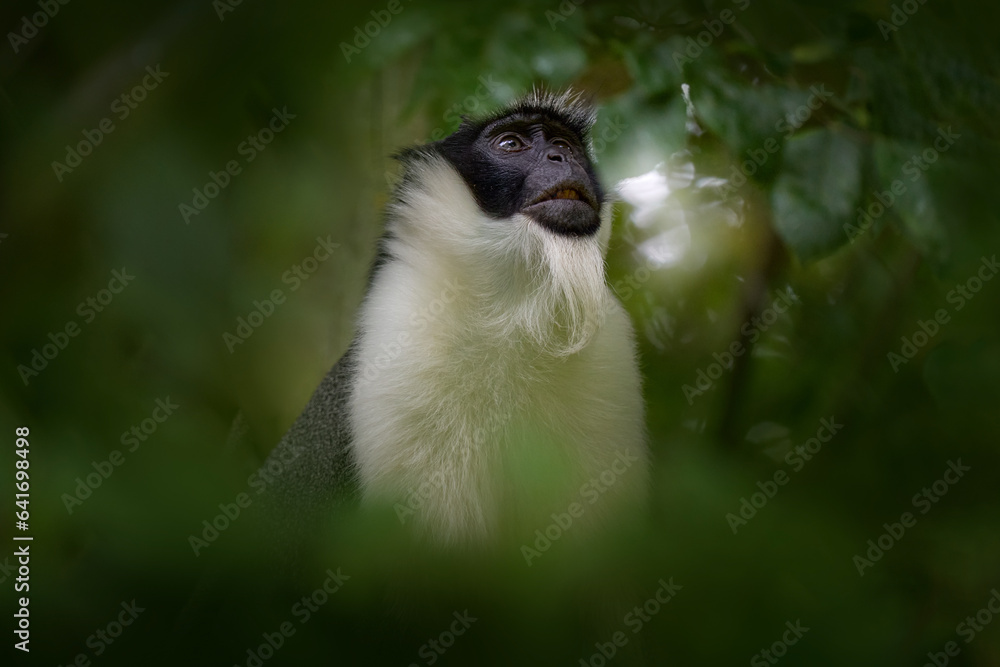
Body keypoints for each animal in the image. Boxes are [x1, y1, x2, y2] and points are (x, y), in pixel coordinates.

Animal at [257, 88, 648, 554]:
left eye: (565, 145)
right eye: (511, 143)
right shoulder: (405, 336)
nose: (559, 157)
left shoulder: (609, 350)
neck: (516, 311)